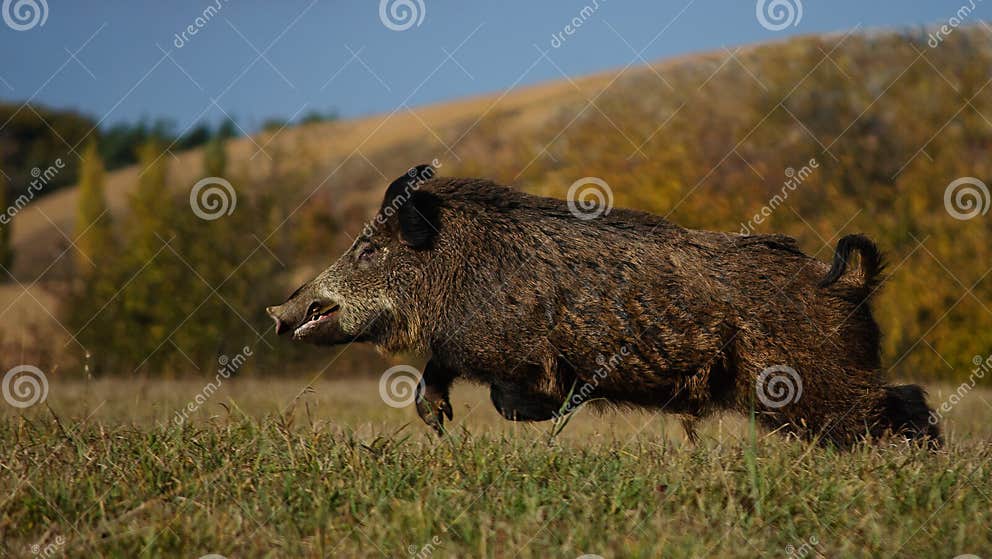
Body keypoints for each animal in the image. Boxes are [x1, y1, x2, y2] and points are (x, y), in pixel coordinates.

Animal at [267, 164, 941, 447]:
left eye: (369, 247)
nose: (279, 314)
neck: (457, 267)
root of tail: (845, 284)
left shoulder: (521, 354)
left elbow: (513, 399)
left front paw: (550, 413)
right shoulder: (463, 346)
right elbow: (436, 373)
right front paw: (438, 424)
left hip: (810, 384)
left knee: (901, 407)